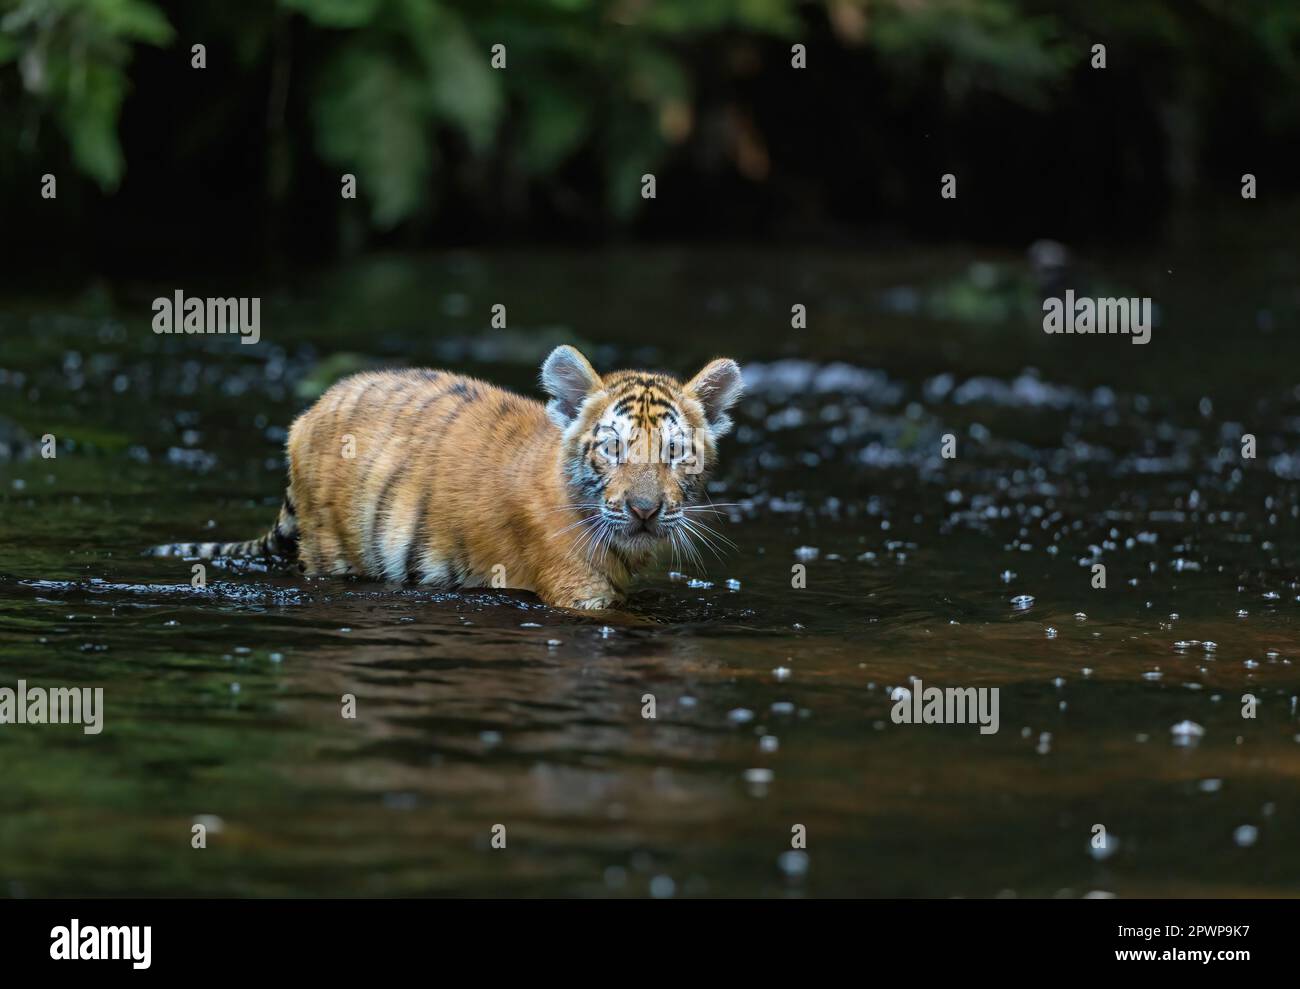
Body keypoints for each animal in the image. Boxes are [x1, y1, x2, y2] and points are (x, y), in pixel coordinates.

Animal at [150, 346, 744, 610]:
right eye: (613, 449)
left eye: (675, 453)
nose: (645, 510)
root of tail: (307, 416)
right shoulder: (578, 596)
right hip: (332, 555)